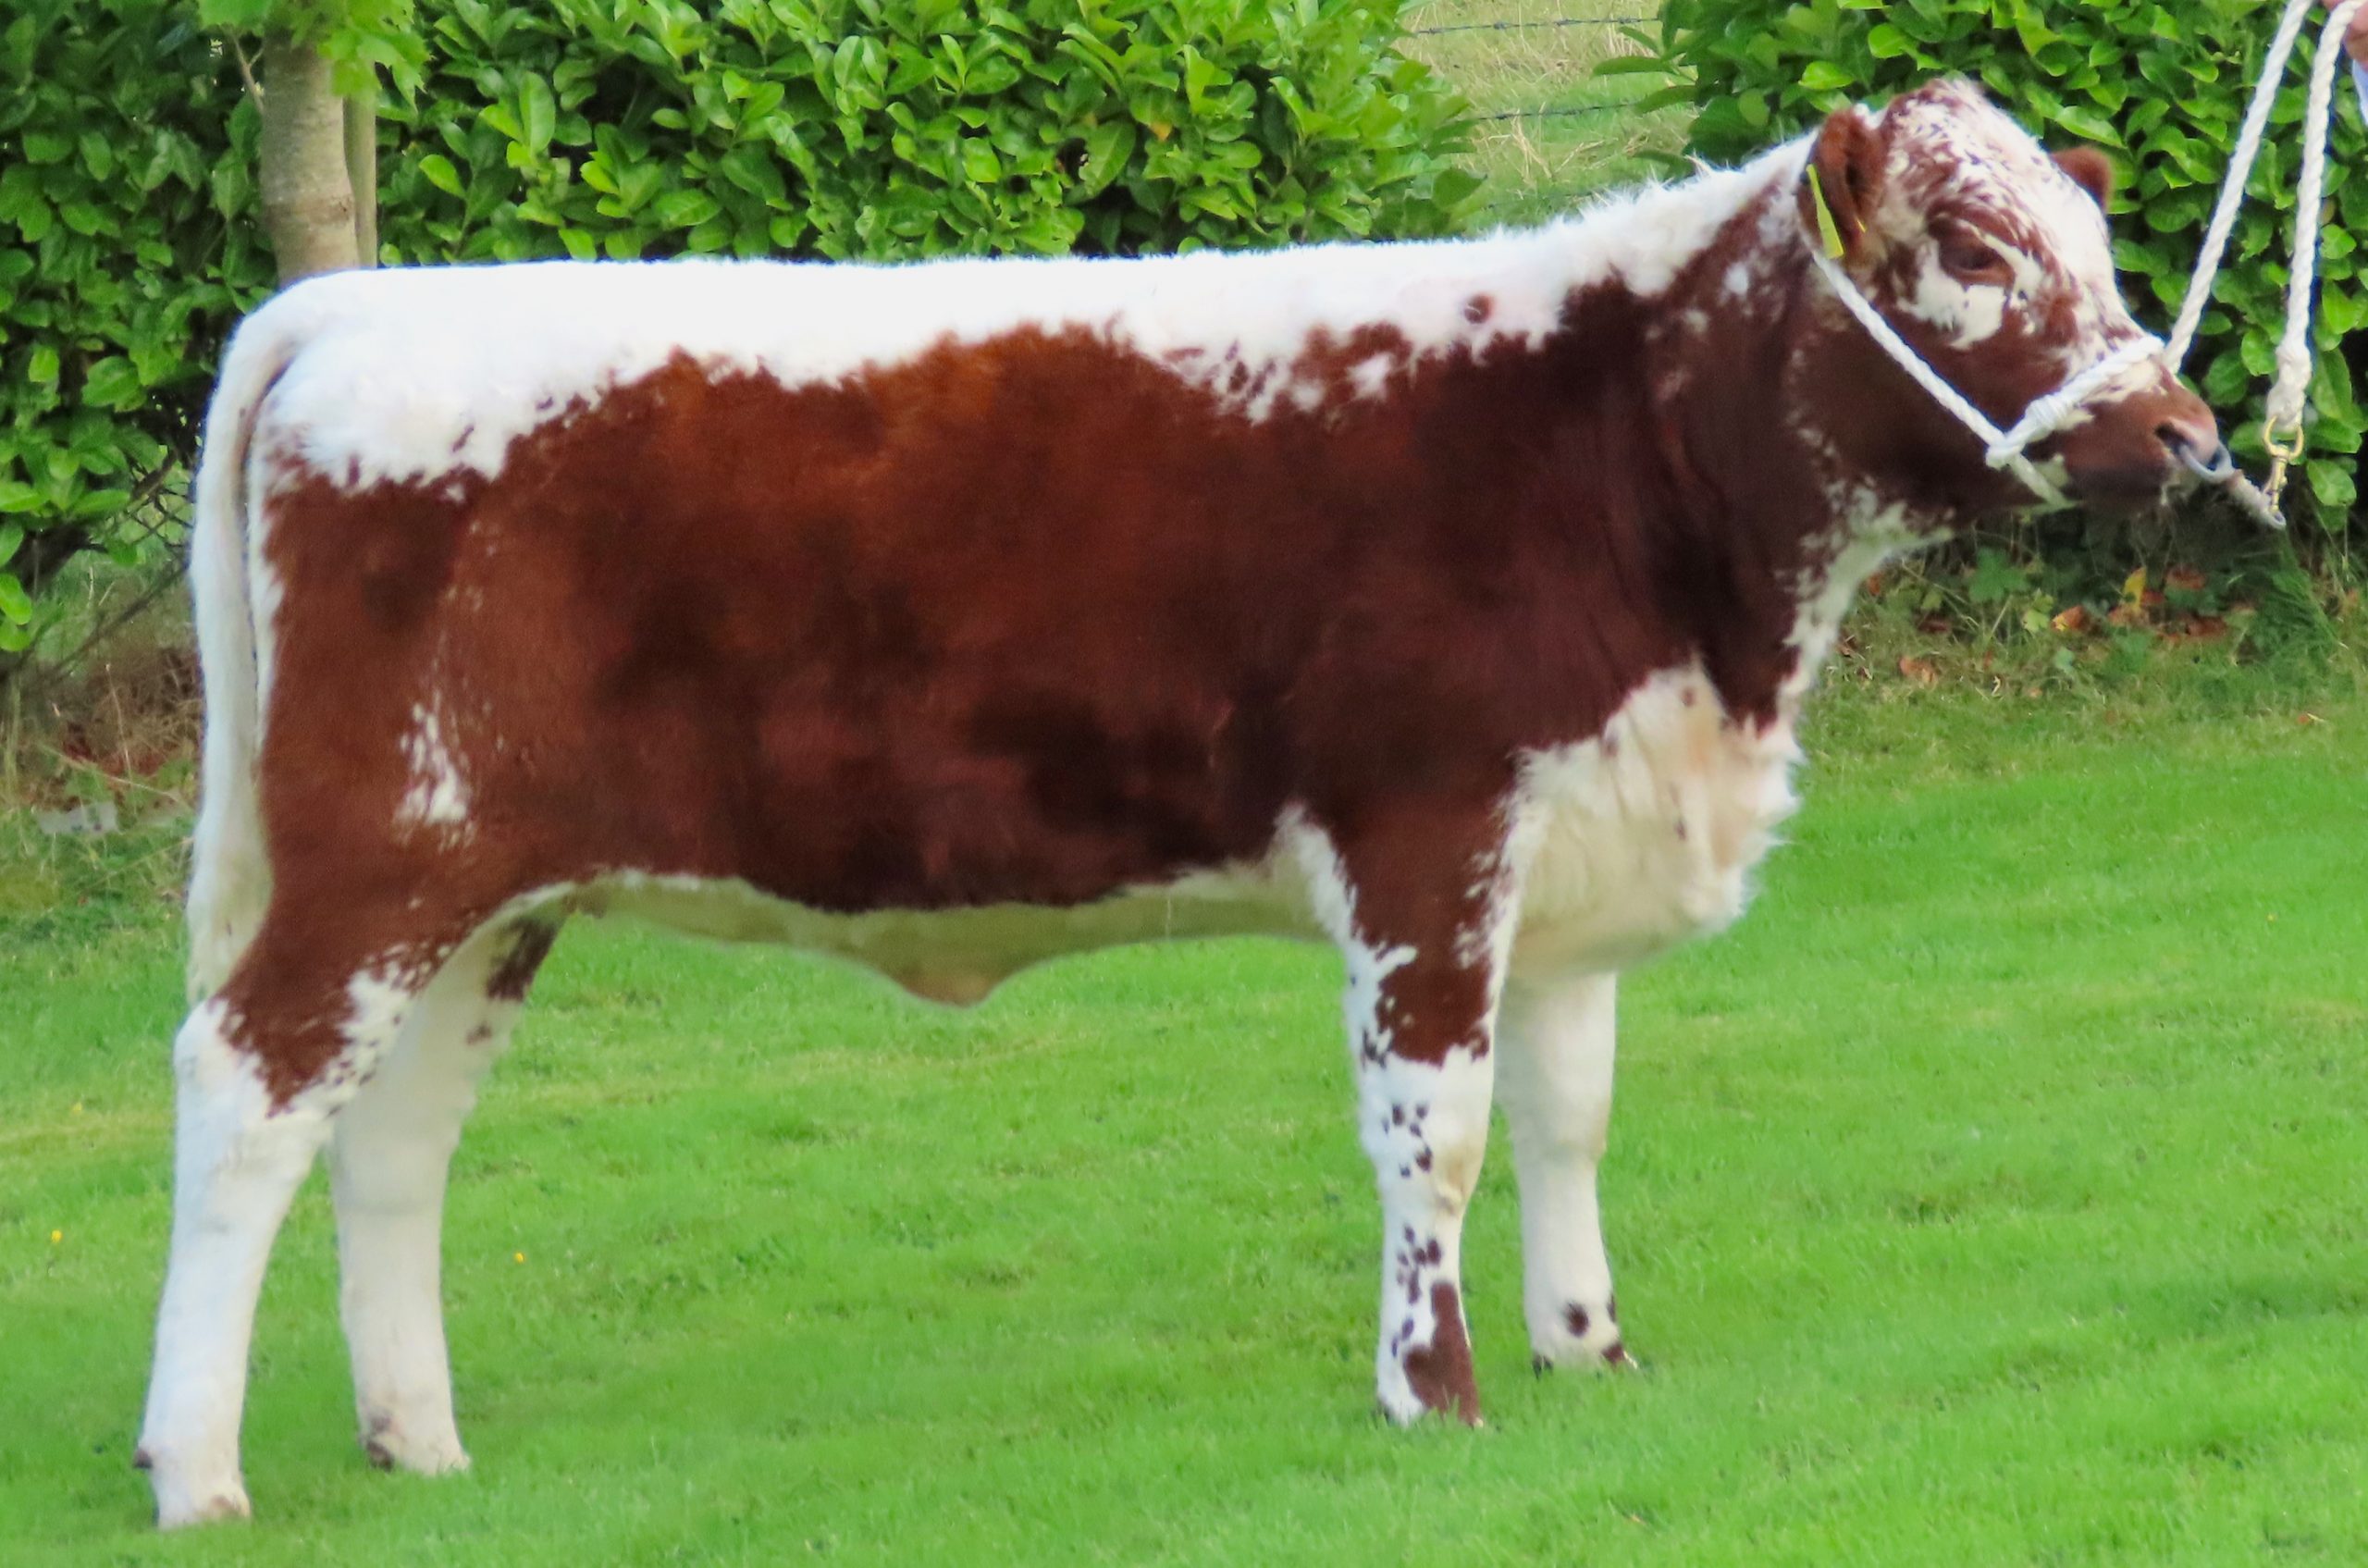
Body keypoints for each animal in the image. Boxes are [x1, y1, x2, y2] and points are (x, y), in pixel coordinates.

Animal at [135, 77, 2221, 1526]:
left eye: (2095, 240)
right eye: (1970, 247)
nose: (2190, 432)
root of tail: (345, 309)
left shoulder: (1576, 840)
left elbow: (1569, 1116)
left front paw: (1591, 1351)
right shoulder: (1423, 832)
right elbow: (1435, 1134)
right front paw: (1435, 1394)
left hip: (491, 888)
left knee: (393, 1142)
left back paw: (417, 1441)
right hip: (372, 854)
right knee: (245, 1100)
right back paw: (197, 1470)